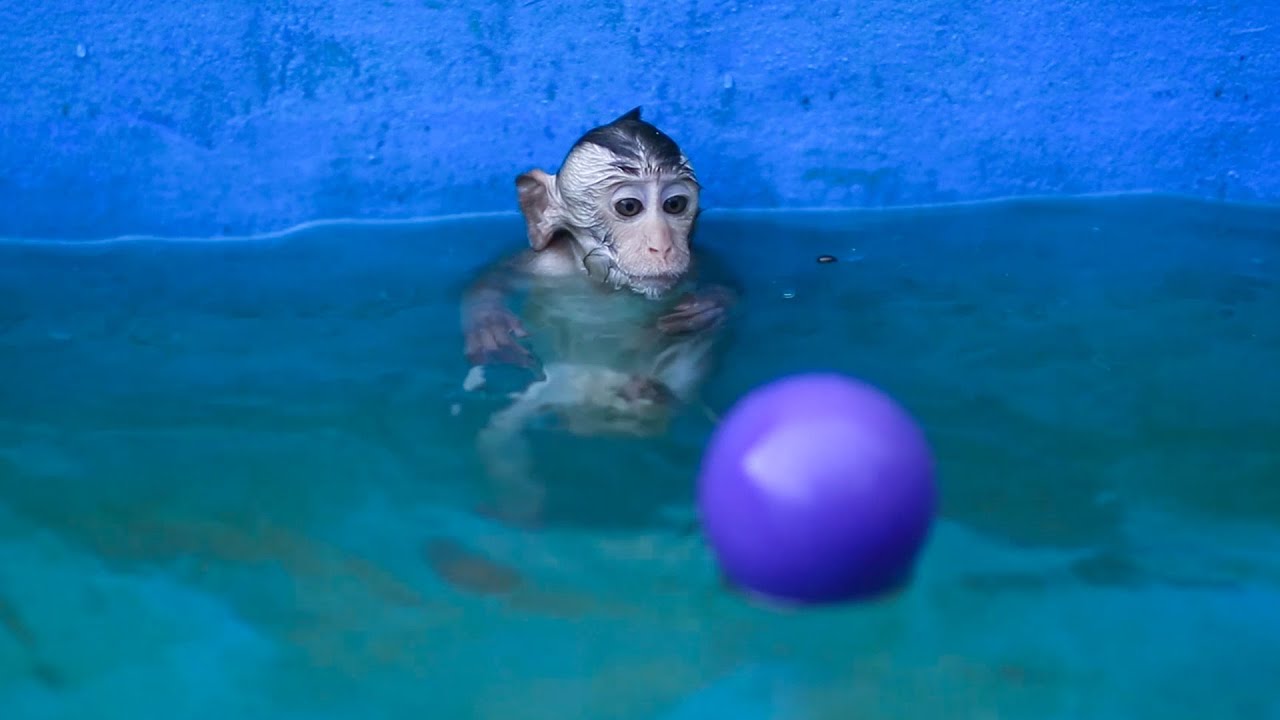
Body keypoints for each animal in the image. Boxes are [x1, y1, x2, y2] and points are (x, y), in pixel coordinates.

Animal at [458, 107, 738, 526]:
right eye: (629, 207)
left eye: (674, 205)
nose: (662, 246)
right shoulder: (542, 263)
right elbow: (490, 281)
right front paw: (488, 326)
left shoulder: (694, 262)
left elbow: (728, 284)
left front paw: (710, 305)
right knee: (497, 437)